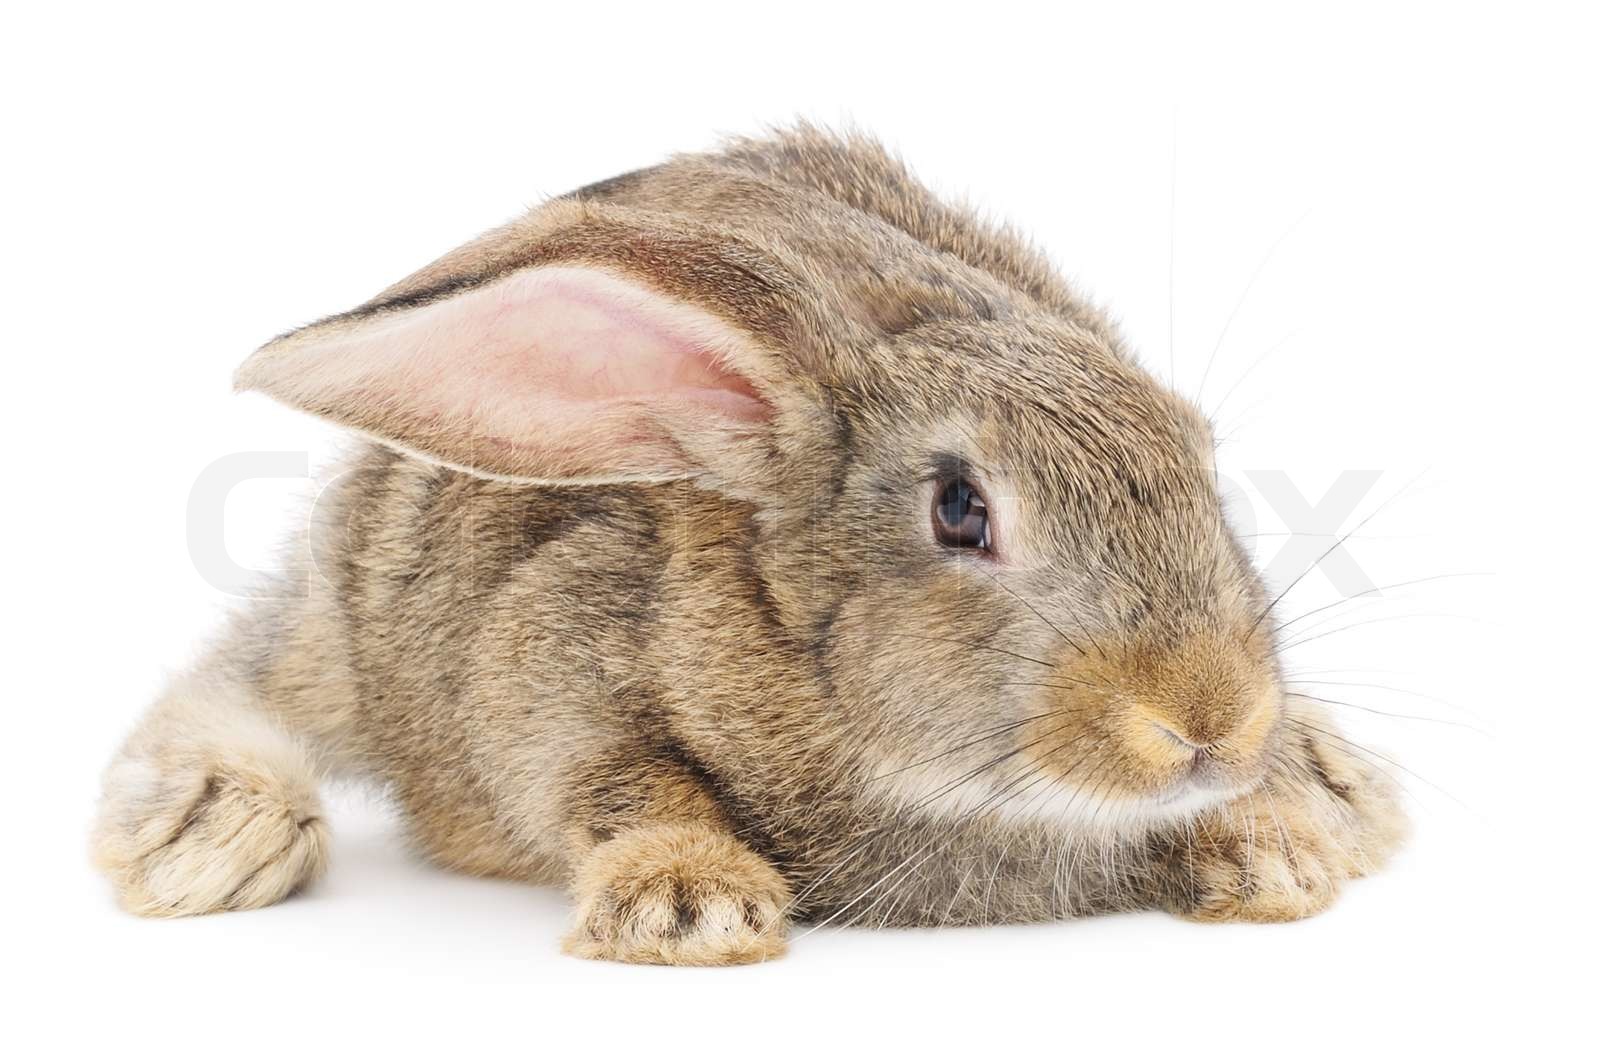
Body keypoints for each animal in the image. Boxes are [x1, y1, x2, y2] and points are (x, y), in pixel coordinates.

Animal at [91, 124, 1407, 965]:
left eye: (1198, 450)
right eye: (960, 508)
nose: (1210, 718)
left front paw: (1276, 848)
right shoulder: (551, 661)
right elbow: (620, 777)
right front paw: (688, 907)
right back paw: (214, 834)